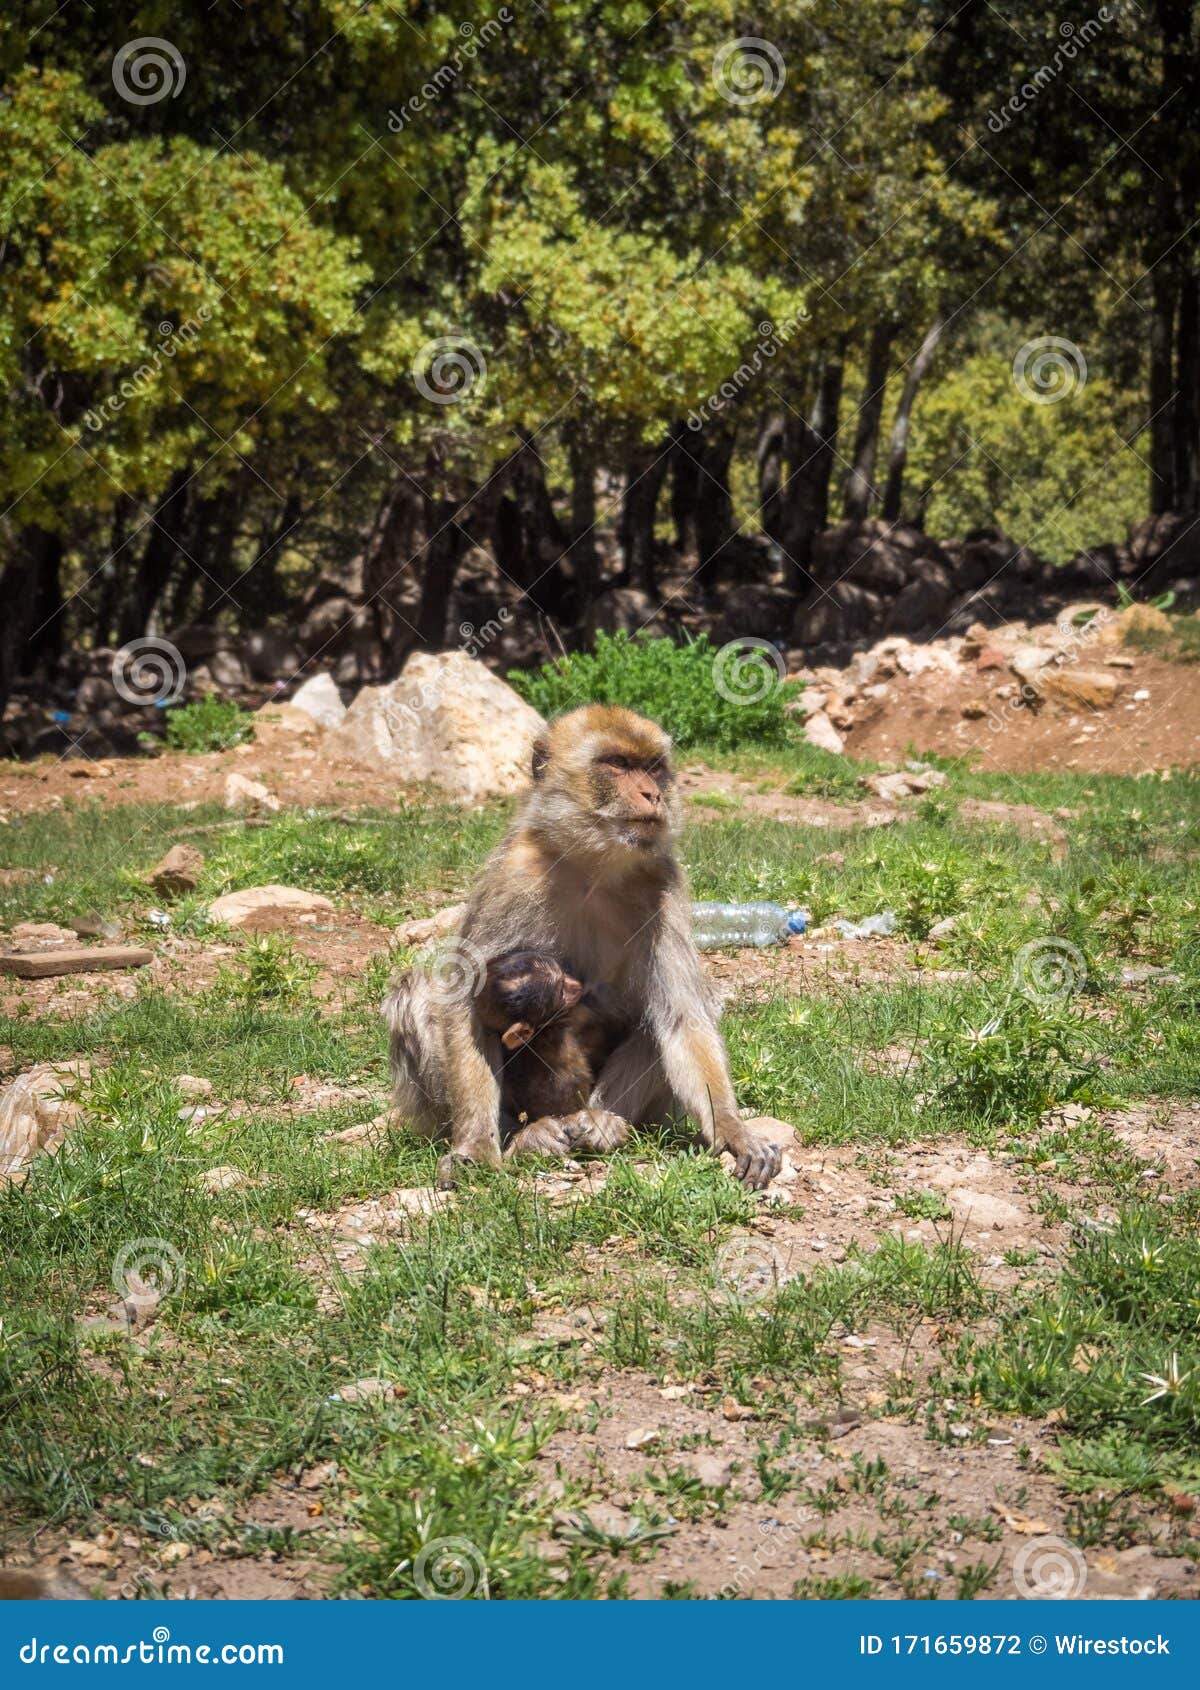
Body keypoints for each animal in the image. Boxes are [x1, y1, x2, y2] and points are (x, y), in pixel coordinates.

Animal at [384, 704, 782, 1190]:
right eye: (617, 764)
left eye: (652, 767)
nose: (653, 794)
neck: (595, 863)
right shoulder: (512, 874)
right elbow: (462, 1001)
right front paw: (476, 1148)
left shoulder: (664, 885)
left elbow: (682, 1015)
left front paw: (731, 1129)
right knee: (414, 990)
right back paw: (526, 1138)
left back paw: (599, 1123)